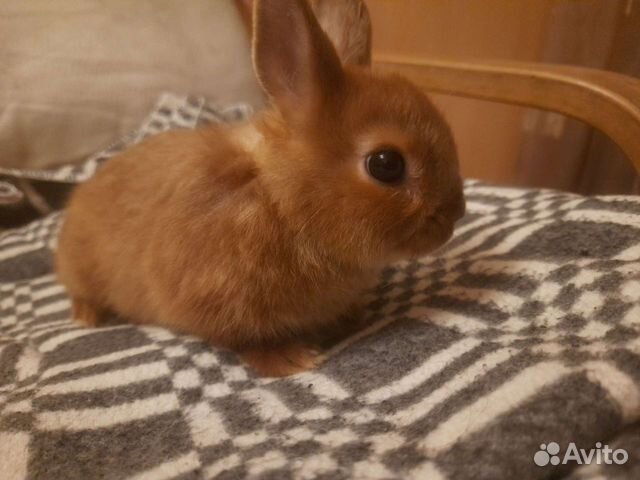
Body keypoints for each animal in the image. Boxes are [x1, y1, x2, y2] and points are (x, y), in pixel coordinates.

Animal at [55, 0, 465, 377]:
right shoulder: (216, 300)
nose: (455, 214)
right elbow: (246, 341)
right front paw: (290, 360)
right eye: (386, 164)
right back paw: (86, 316)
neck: (279, 198)